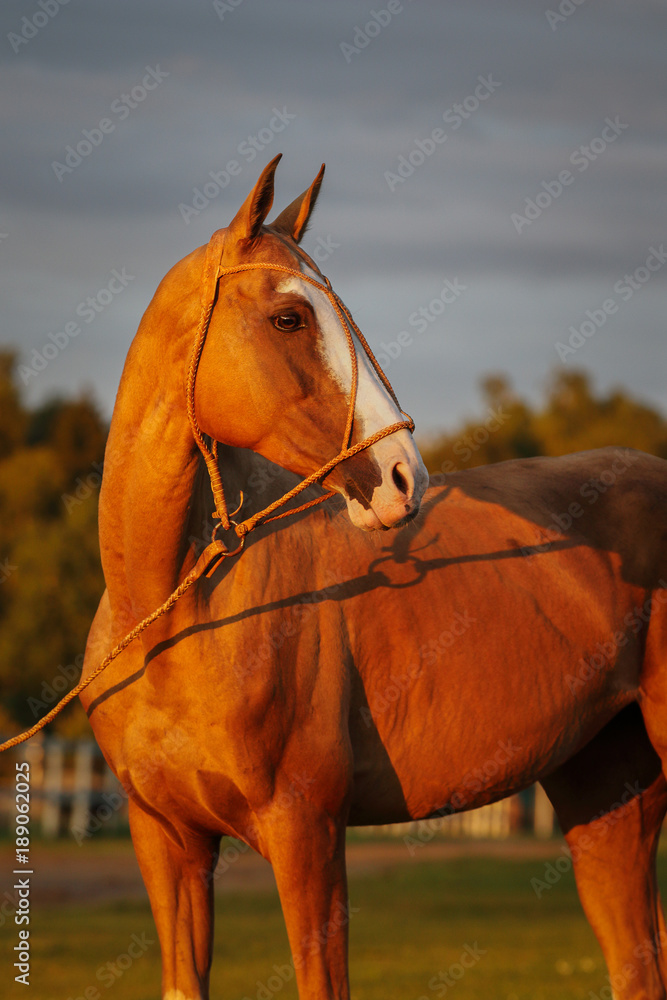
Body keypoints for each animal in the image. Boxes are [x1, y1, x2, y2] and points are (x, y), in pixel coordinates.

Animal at [81, 155, 667, 1000]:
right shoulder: (167, 842)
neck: (175, 619)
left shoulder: (307, 833)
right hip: (605, 791)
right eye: (289, 318)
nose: (401, 477)